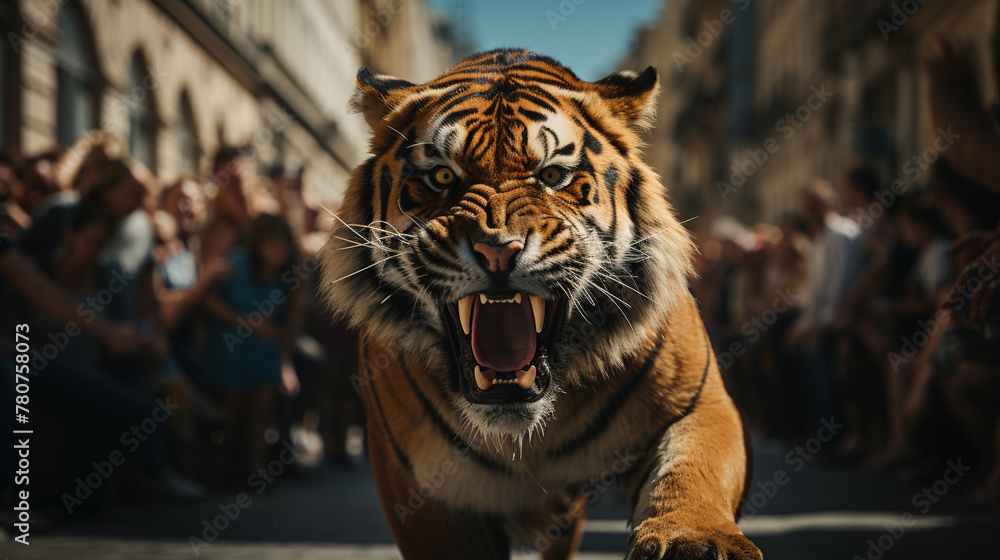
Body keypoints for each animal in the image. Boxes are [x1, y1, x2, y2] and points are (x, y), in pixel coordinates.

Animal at [319, 48, 762, 560]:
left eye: (552, 175)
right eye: (442, 176)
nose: (497, 250)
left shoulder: (699, 405)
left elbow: (692, 471)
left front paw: (692, 540)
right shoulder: (418, 484)